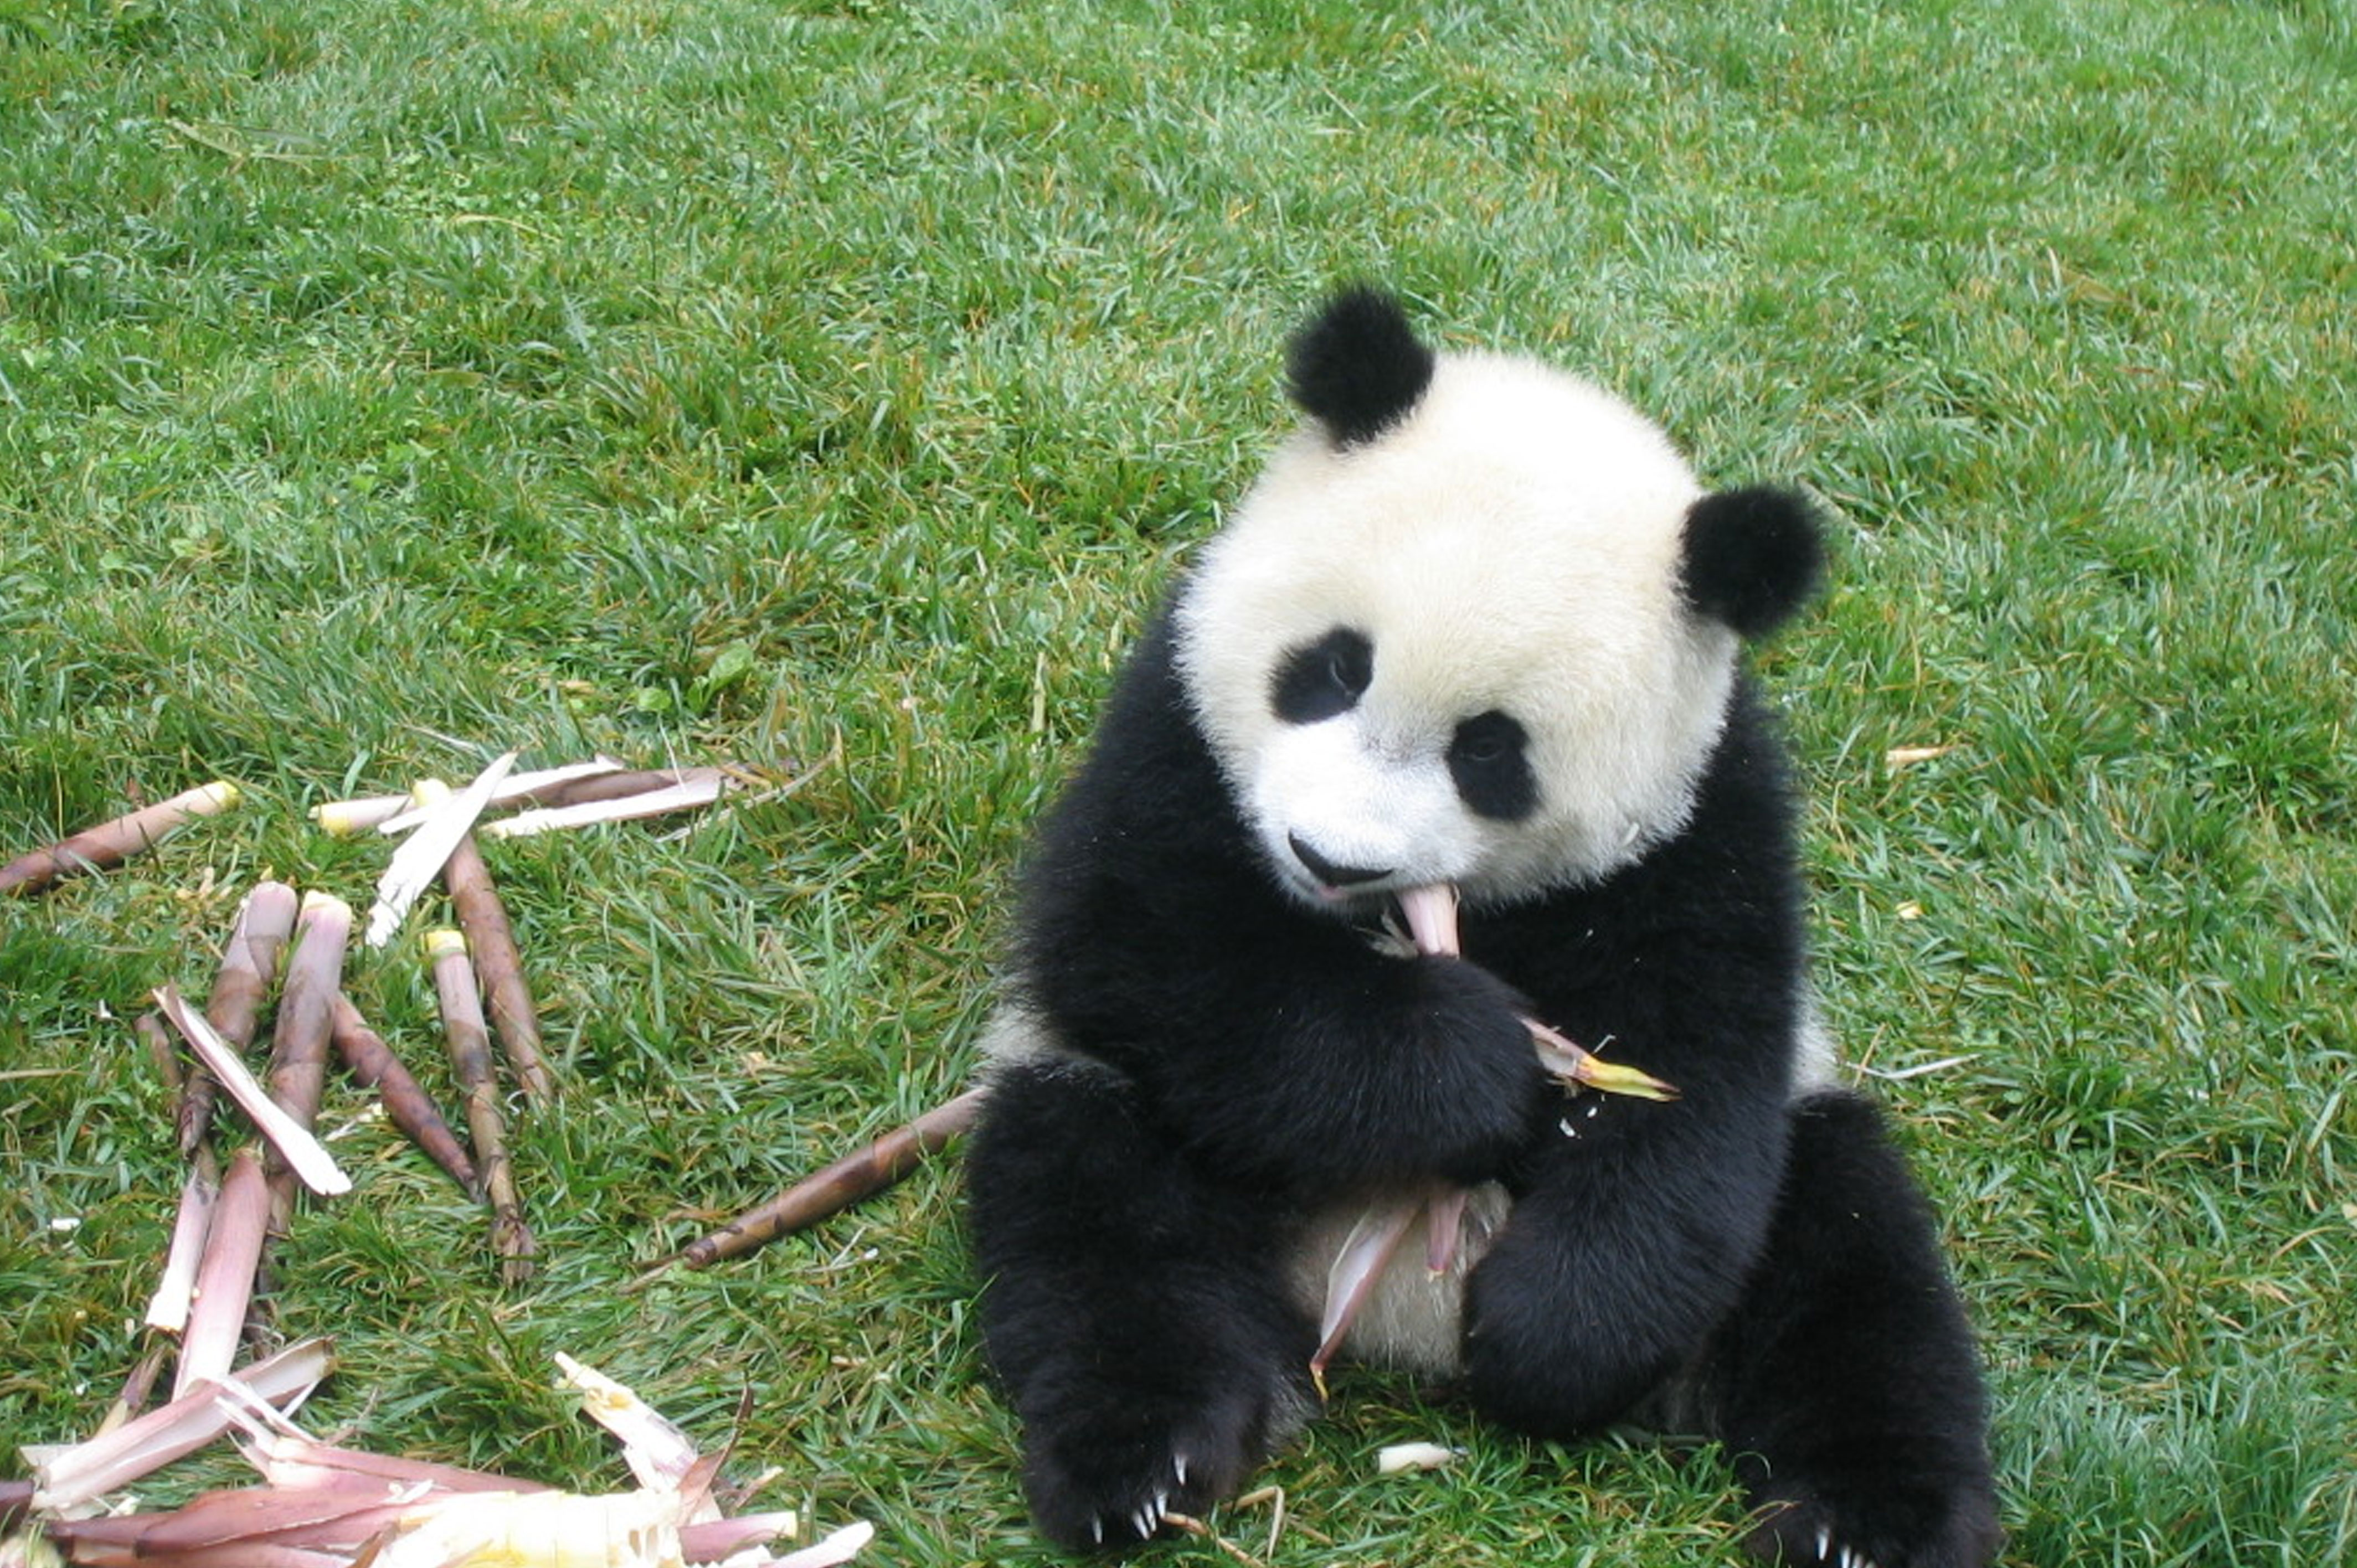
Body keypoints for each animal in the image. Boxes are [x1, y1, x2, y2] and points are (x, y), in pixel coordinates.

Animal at [965, 288, 2000, 1567]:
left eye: (1491, 752)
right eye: (1331, 669)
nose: (1329, 858)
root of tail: (1390, 1321)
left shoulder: (1709, 819)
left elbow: (1692, 1073)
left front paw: (1549, 1340)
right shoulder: (1172, 718)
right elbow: (1147, 943)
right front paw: (1471, 1067)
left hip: (1804, 1171)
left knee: (1852, 1271)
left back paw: (1868, 1520)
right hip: (1123, 1119)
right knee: (1104, 1221)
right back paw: (1145, 1464)